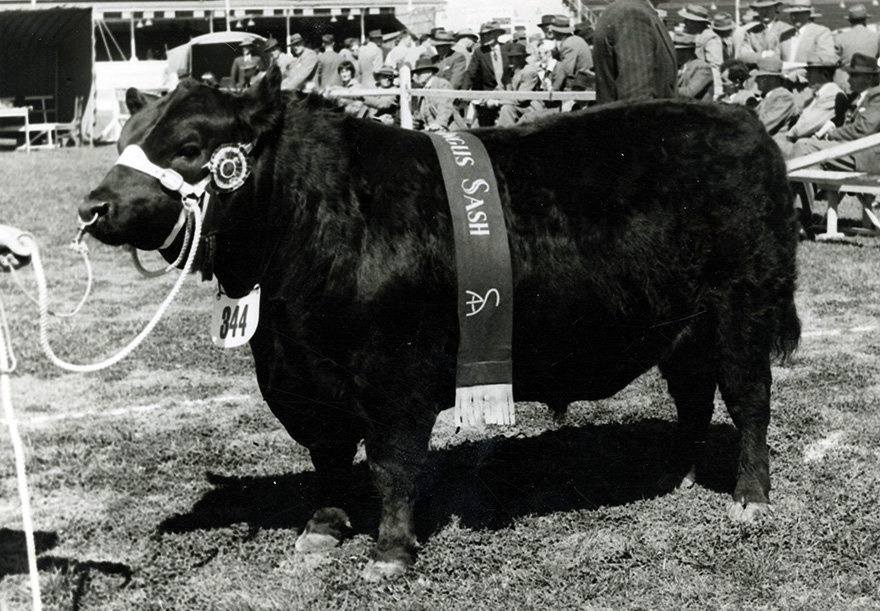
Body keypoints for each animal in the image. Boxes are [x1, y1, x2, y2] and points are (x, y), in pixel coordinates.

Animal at [79, 66, 800, 581]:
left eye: (191, 145)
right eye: (123, 140)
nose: (92, 206)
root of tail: (742, 120)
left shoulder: (397, 372)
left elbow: (392, 462)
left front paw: (390, 553)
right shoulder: (301, 379)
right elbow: (328, 457)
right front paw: (323, 530)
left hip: (743, 307)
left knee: (749, 399)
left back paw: (750, 497)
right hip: (683, 328)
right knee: (693, 397)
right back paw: (681, 475)